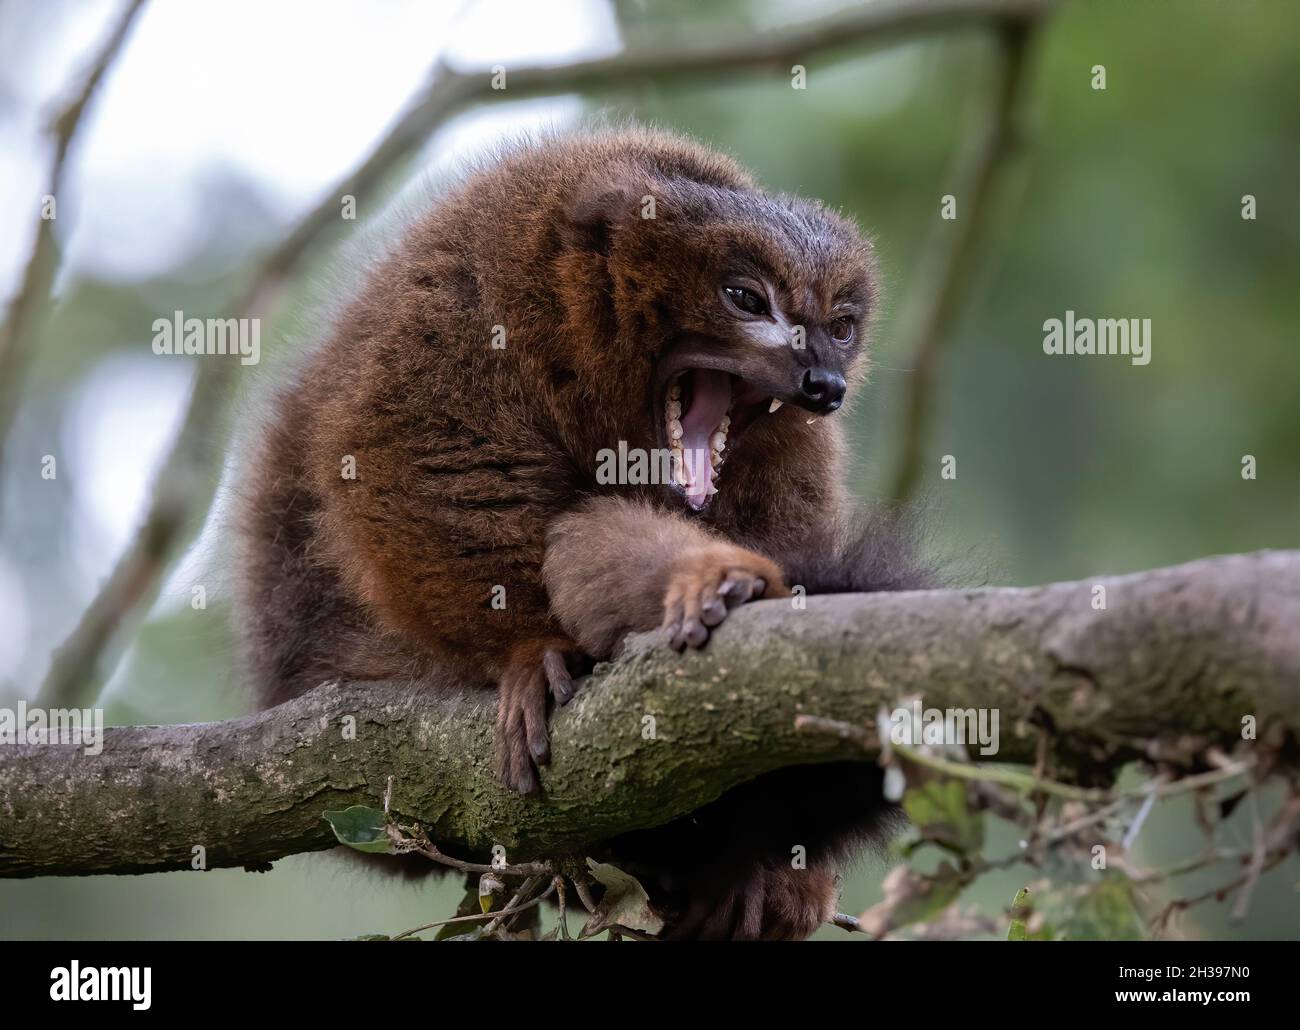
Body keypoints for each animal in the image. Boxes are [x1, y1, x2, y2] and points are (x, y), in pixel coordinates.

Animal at [235, 126, 935, 940]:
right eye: (745, 299)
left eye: (841, 326)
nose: (823, 381)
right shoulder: (461, 303)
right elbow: (415, 462)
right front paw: (530, 650)